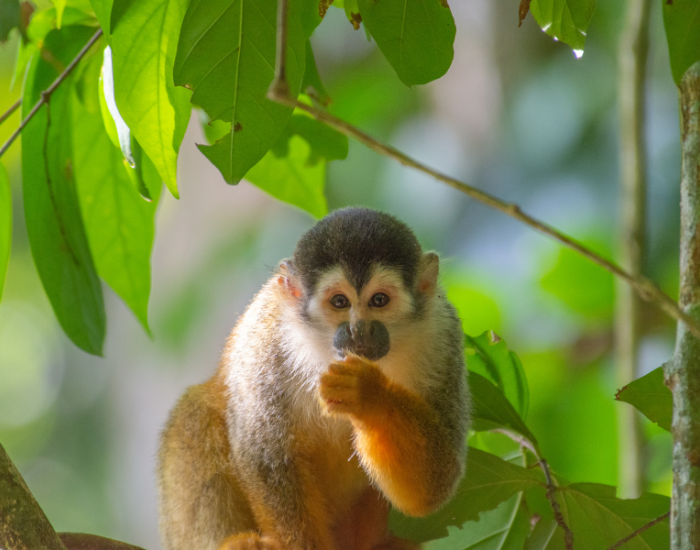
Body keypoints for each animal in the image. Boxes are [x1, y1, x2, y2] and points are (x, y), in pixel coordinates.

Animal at [157, 207, 471, 550]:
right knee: (194, 414)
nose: (359, 331)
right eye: (340, 302)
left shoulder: (443, 333)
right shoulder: (267, 343)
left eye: (379, 300)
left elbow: (435, 485)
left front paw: (368, 395)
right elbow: (266, 456)